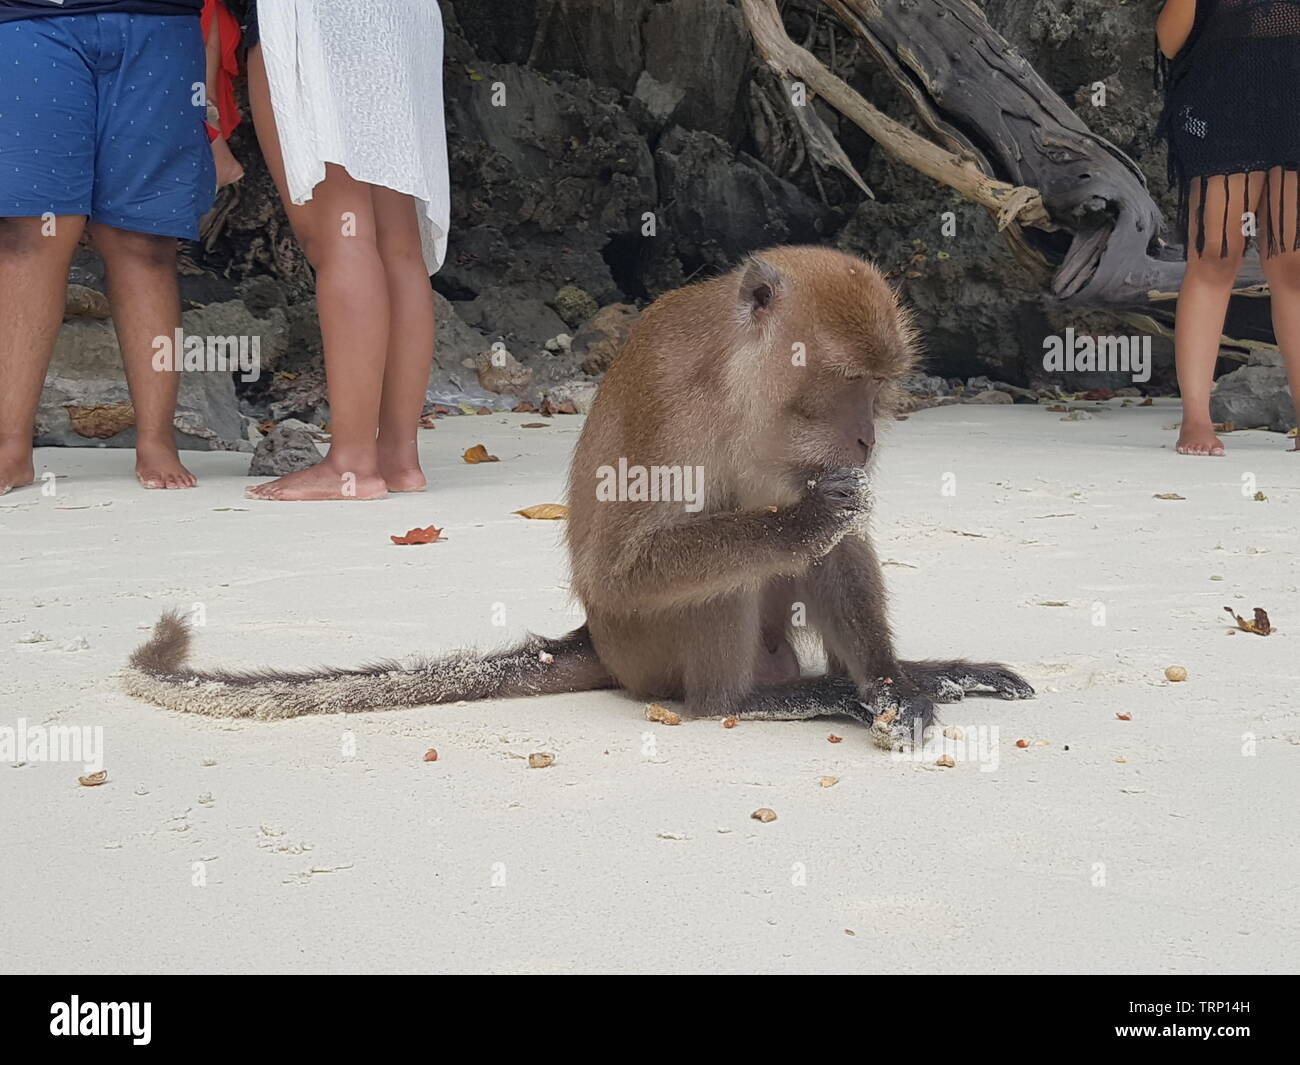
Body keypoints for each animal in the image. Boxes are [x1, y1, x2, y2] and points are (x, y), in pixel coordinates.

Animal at [125, 245, 1033, 749]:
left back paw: (888, 677)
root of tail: (598, 640)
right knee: (713, 582)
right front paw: (811, 518)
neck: (743, 385)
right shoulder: (675, 403)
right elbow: (630, 564)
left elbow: (841, 538)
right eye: (847, 383)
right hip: (643, 647)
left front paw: (891, 686)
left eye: (879, 387)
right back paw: (754, 700)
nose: (867, 439)